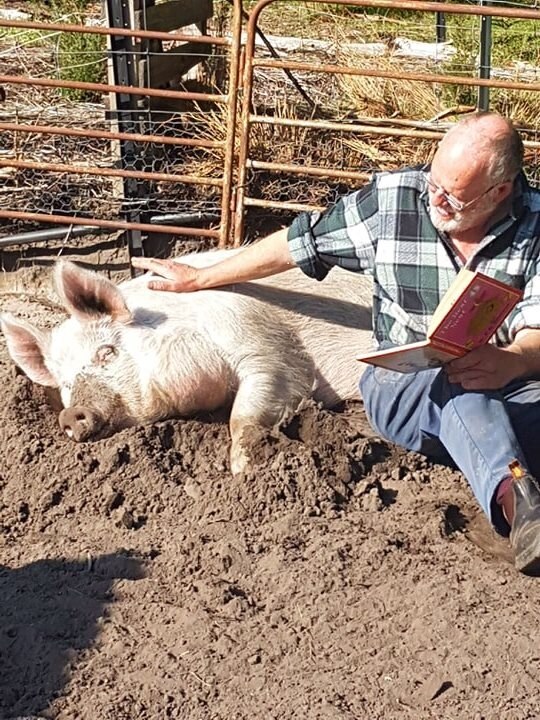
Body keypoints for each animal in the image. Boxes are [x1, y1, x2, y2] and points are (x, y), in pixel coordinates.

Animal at [1, 249, 374, 474]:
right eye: (64, 383)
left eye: (106, 351)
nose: (70, 413)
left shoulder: (269, 346)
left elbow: (245, 412)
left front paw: (242, 469)